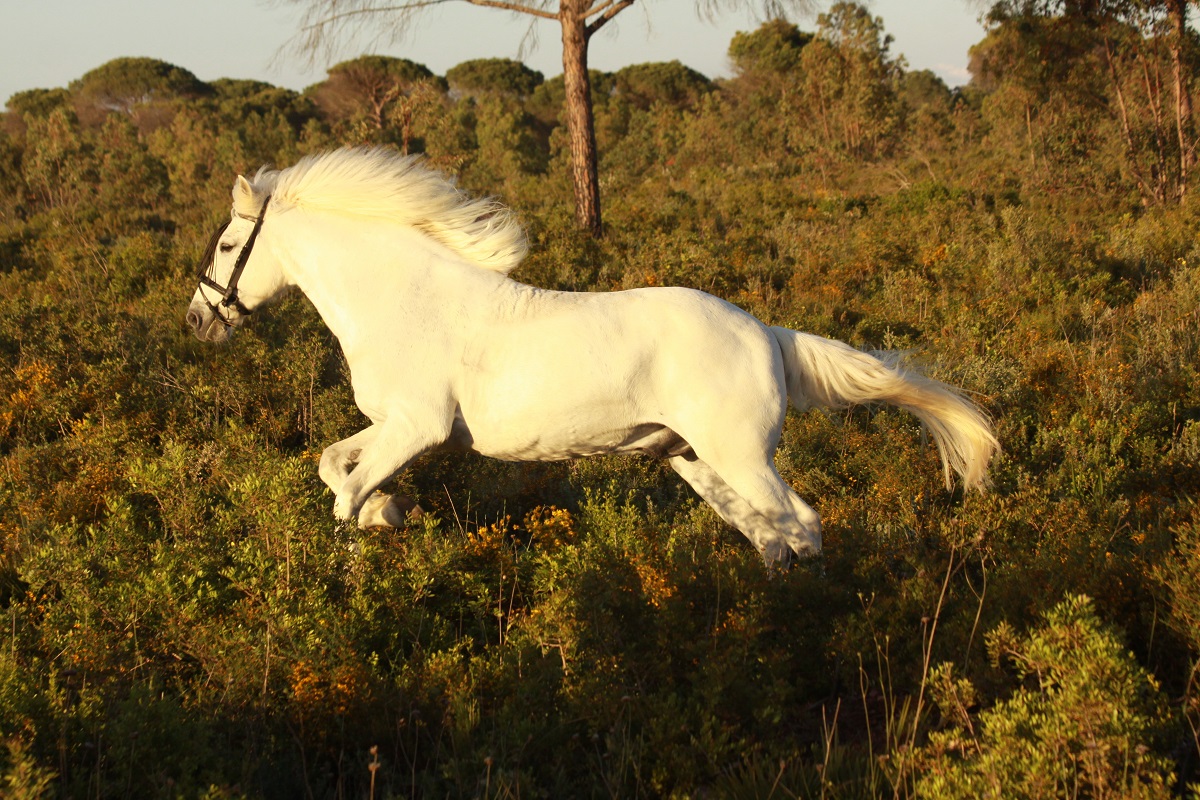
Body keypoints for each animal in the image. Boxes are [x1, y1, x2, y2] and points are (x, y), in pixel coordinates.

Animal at [186, 146, 998, 564]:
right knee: (769, 536)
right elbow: (333, 462)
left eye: (227, 245)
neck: (402, 297)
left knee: (803, 525)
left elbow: (346, 496)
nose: (197, 320)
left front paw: (374, 526)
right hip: (693, 459)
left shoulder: (418, 427)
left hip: (738, 455)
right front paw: (391, 513)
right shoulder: (394, 424)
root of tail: (767, 332)